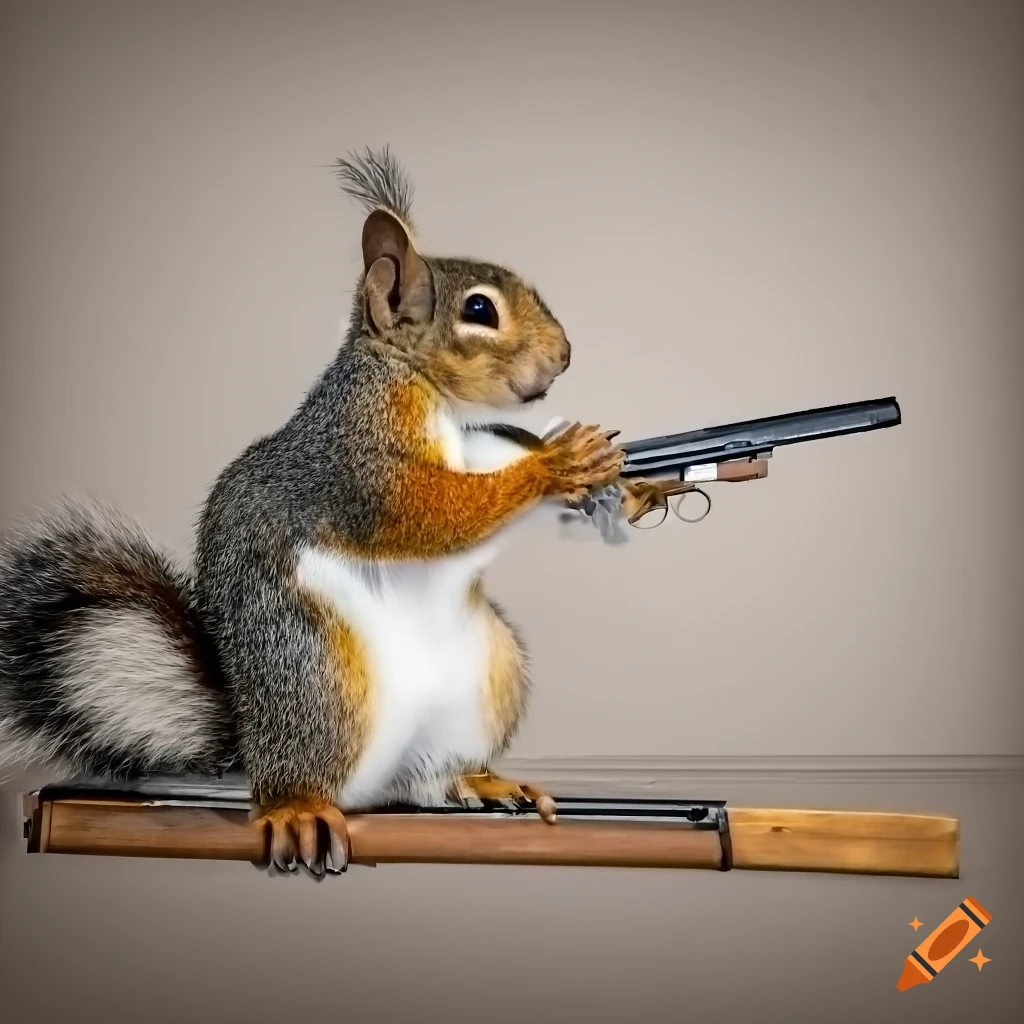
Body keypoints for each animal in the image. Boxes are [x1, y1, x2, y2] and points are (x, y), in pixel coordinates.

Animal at [0, 147, 626, 876]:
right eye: (479, 309)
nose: (565, 356)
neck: (423, 388)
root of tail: (254, 748)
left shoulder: (475, 442)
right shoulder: (356, 460)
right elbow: (424, 512)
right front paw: (553, 465)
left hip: (487, 676)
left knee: (429, 780)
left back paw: (480, 780)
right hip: (313, 674)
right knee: (307, 771)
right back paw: (296, 809)